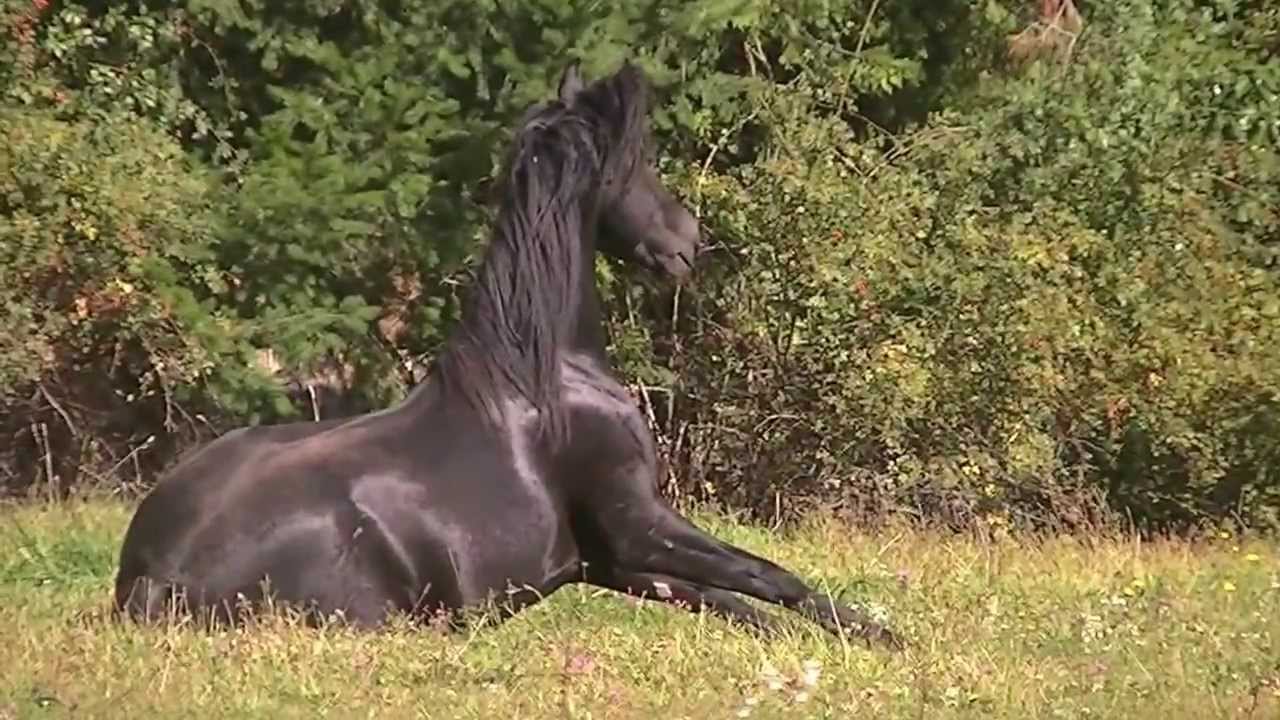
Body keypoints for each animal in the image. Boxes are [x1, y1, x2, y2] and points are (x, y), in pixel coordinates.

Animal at [113, 60, 900, 649]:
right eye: (639, 163)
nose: (690, 243)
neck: (547, 374)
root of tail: (150, 577)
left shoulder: (610, 558)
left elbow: (736, 601)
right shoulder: (640, 525)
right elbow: (772, 576)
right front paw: (890, 639)